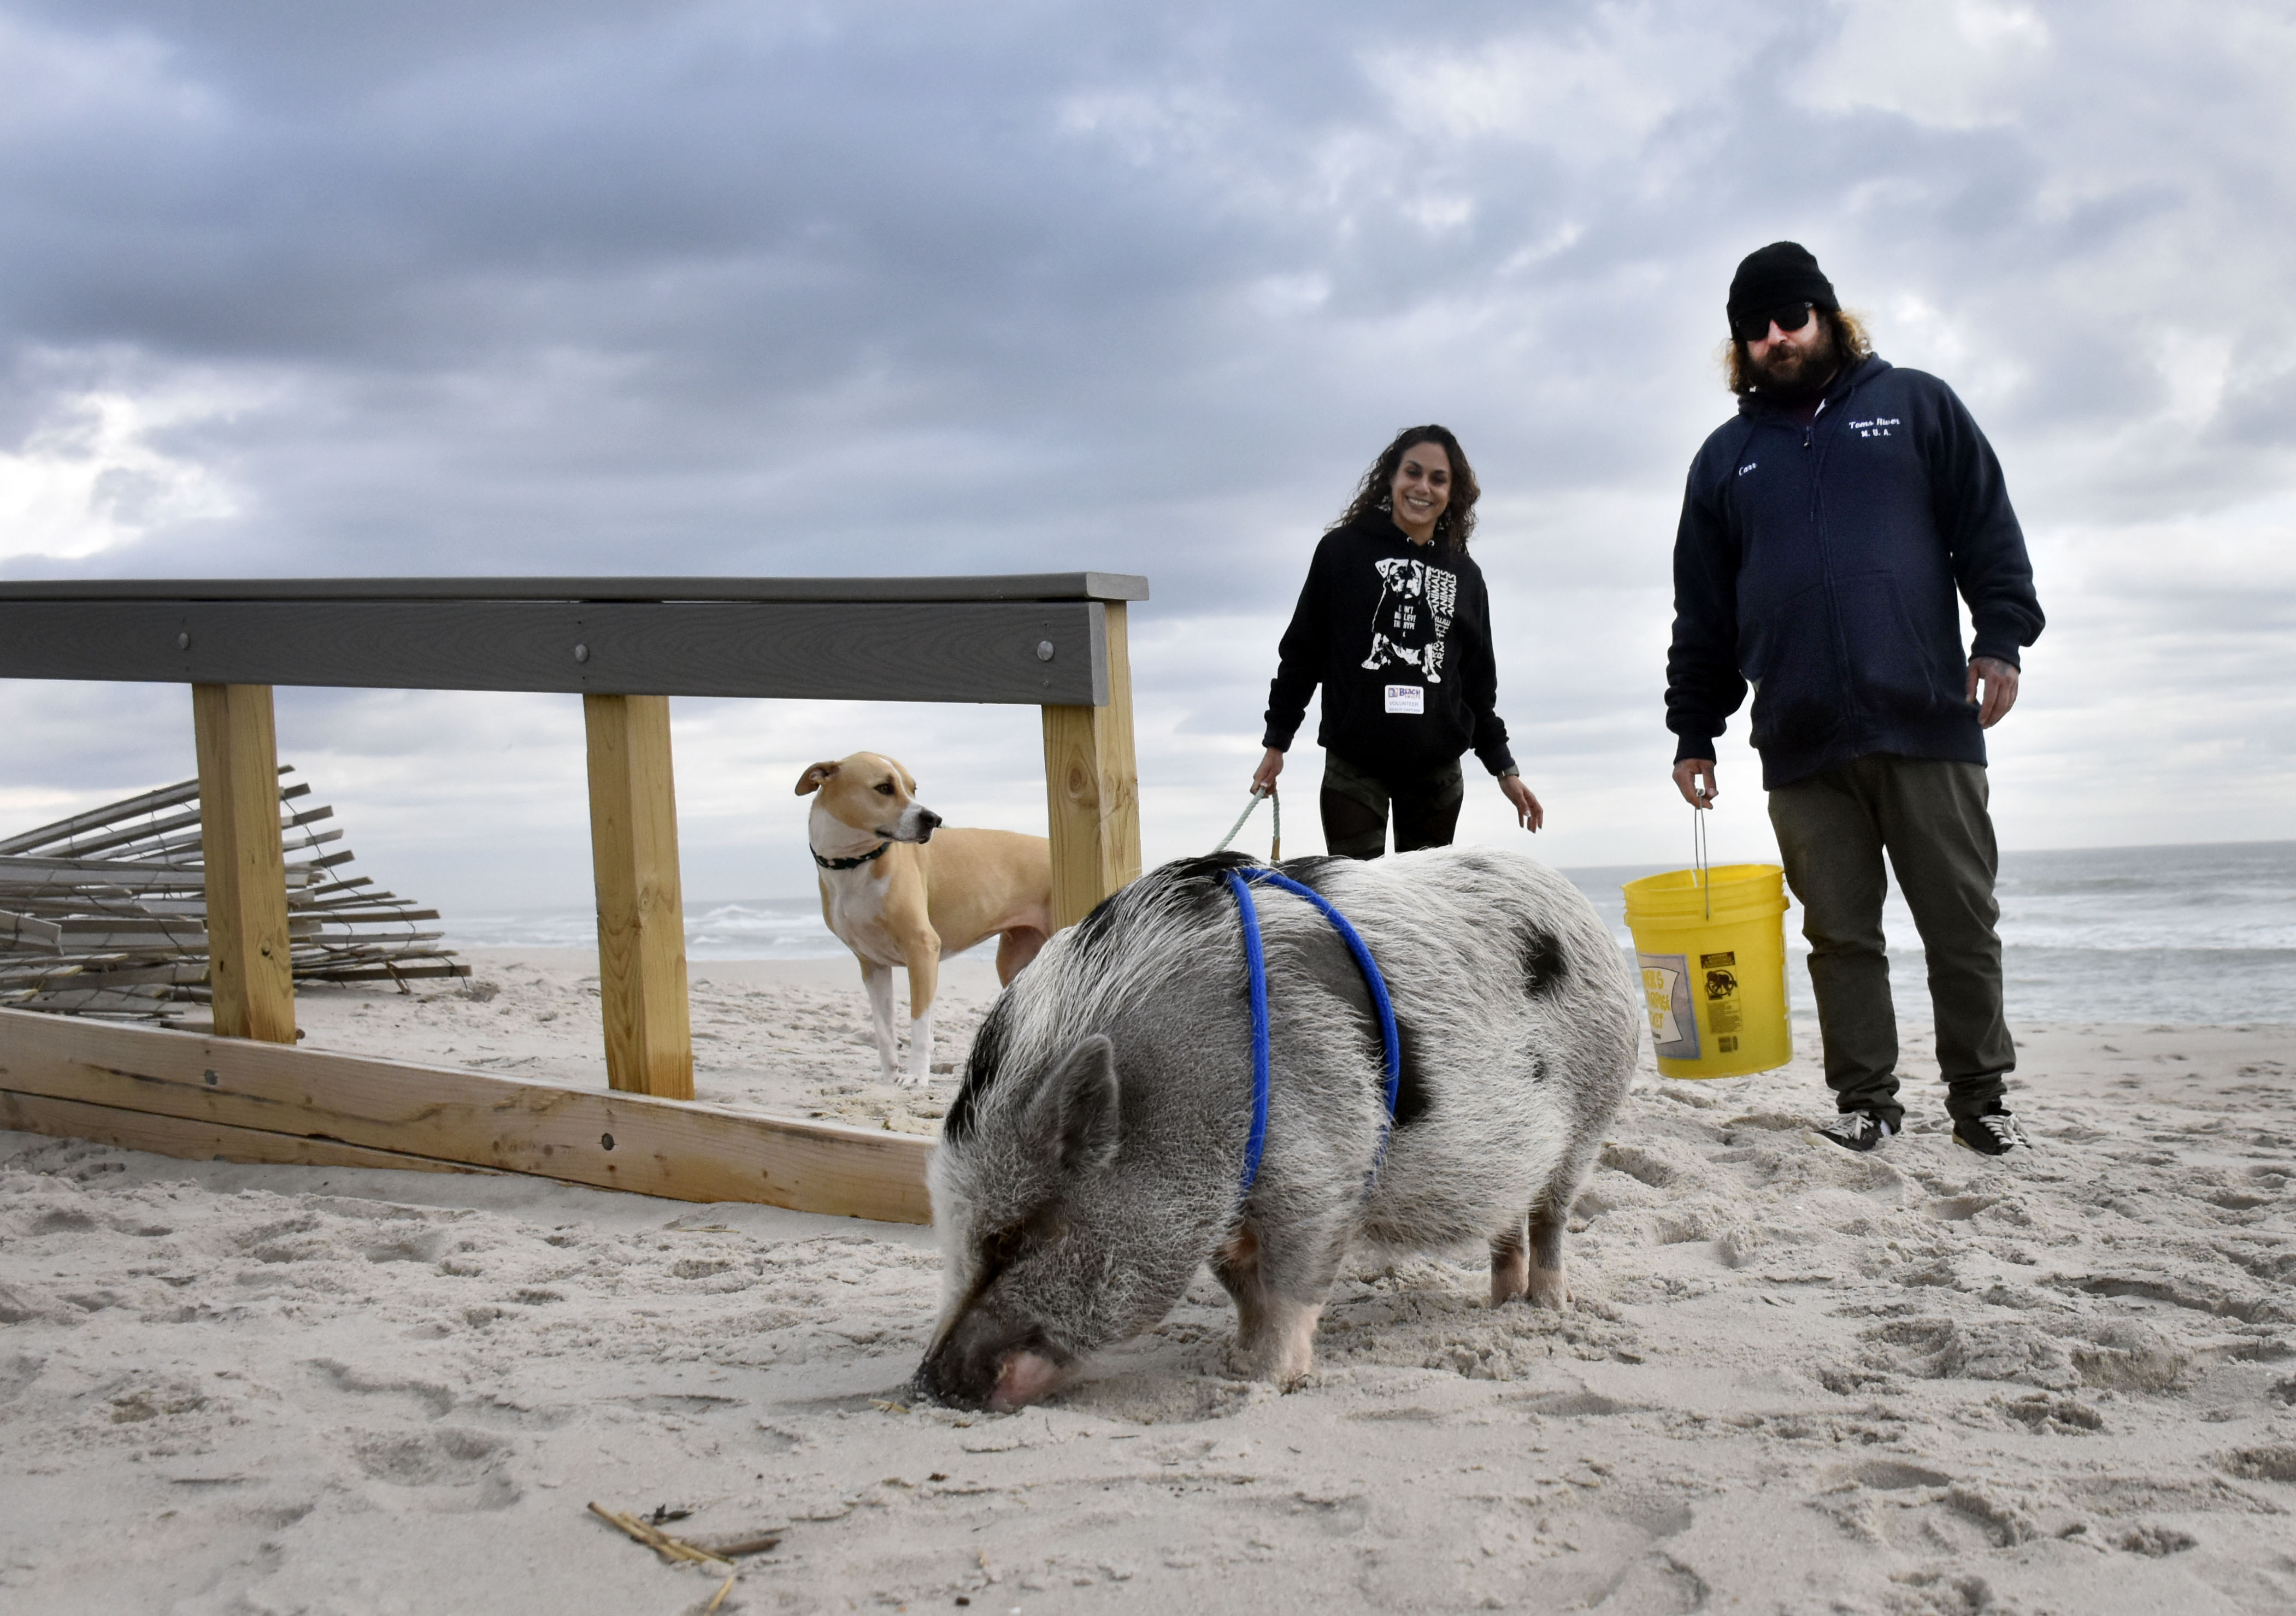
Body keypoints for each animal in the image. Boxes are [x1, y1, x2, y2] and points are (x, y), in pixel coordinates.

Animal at [916, 845, 1639, 1411]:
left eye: (1012, 1238)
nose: (926, 1384)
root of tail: (1578, 901)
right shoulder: (1224, 1206)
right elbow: (1242, 1287)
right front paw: (1234, 1362)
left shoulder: (1320, 1166)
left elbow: (1296, 1278)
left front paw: (1266, 1380)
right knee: (1508, 1220)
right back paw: (1500, 1302)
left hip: (1593, 1111)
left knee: (1552, 1215)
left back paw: (1545, 1306)